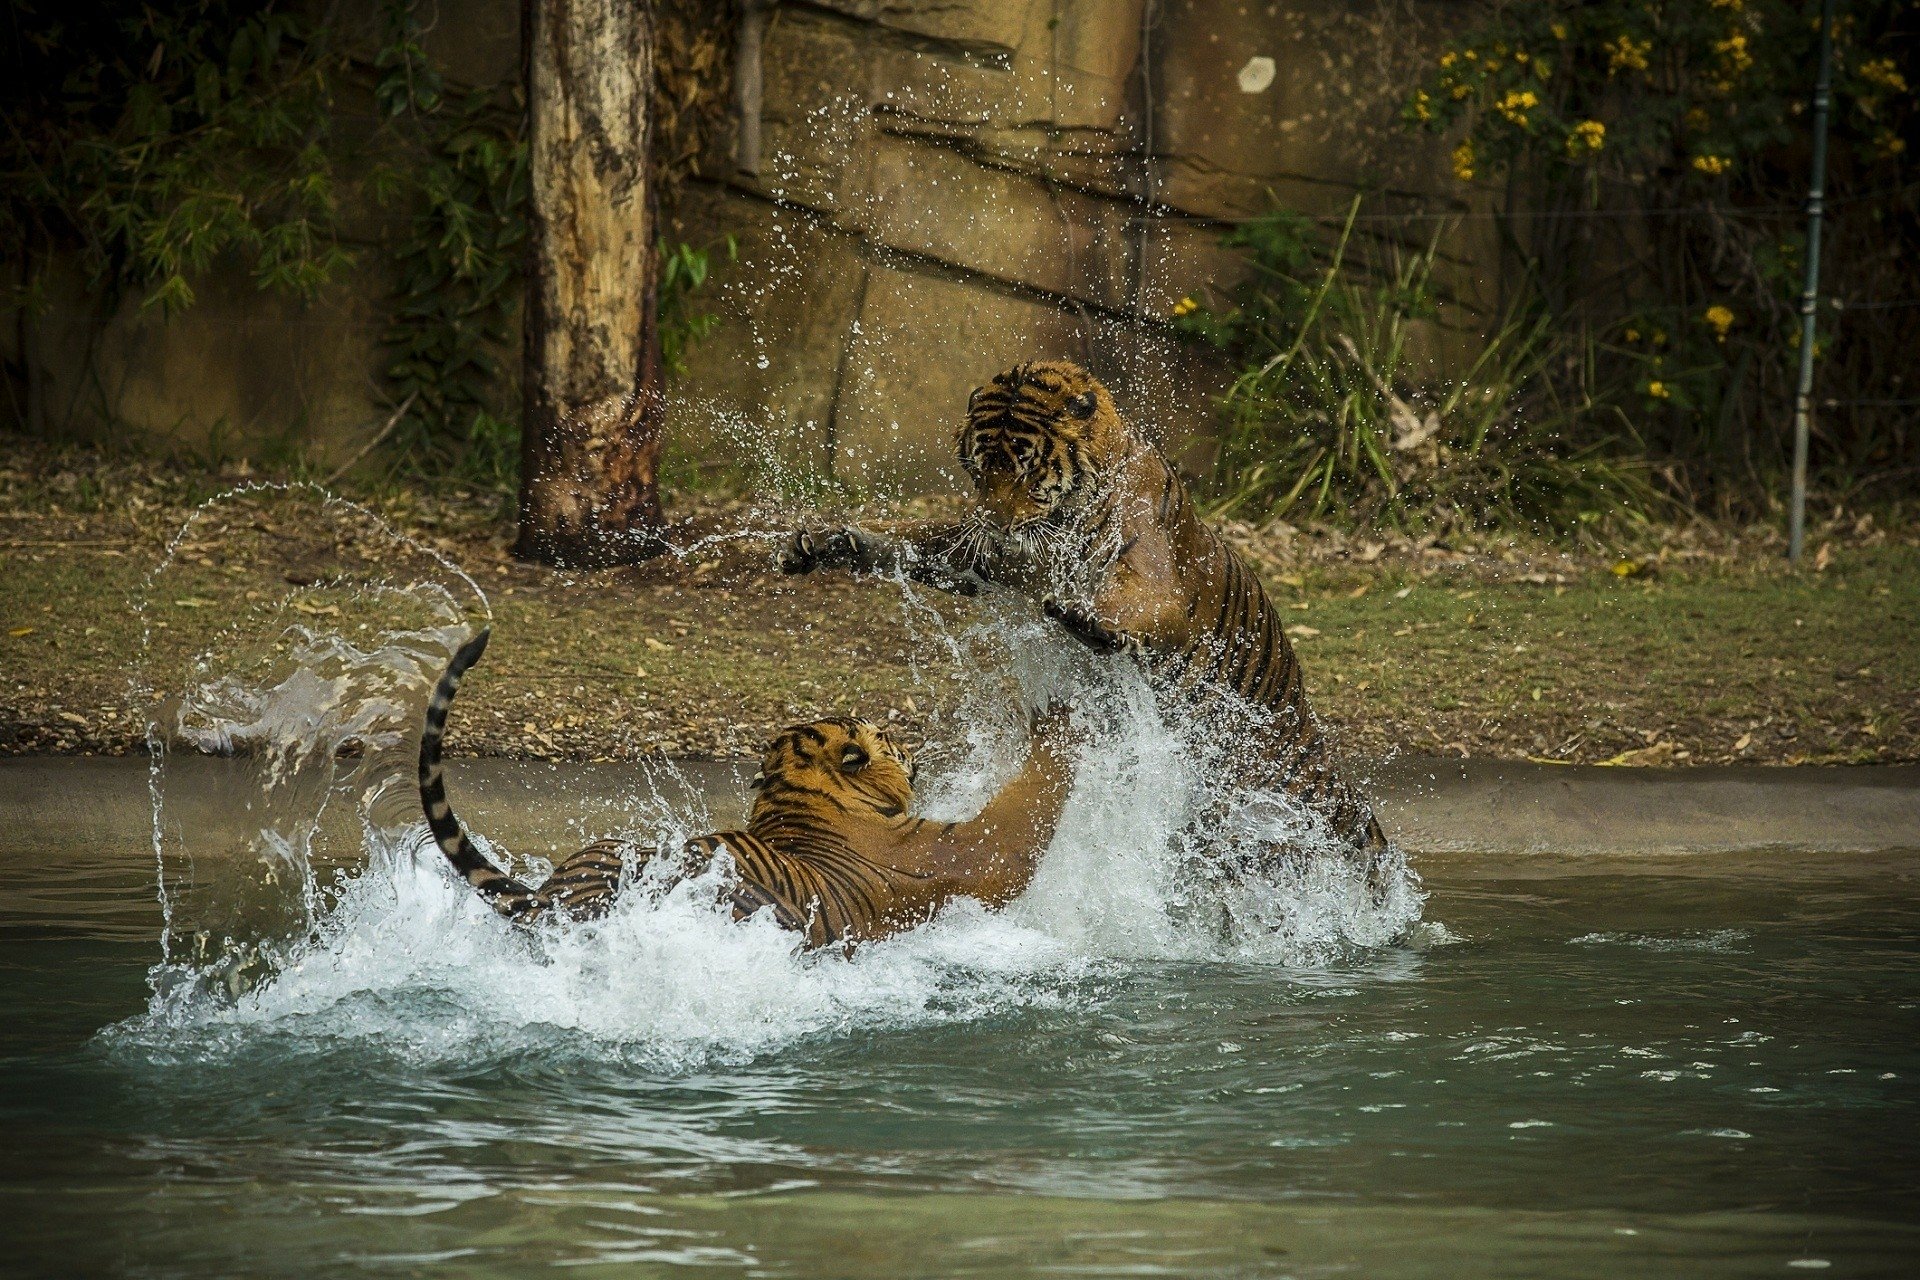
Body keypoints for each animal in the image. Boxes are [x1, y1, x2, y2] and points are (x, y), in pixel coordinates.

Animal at [418, 628, 1074, 947]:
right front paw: (1061, 716)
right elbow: (1025, 807)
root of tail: (556, 902)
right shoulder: (967, 849)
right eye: (887, 734)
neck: (799, 797)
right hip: (742, 899)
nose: (910, 748)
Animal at [779, 358, 1389, 886]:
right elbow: (916, 542)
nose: (995, 522)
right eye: (981, 469)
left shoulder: (1154, 575)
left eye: (1027, 470)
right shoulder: (987, 557)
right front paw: (830, 543)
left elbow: (1128, 603)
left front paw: (1079, 610)